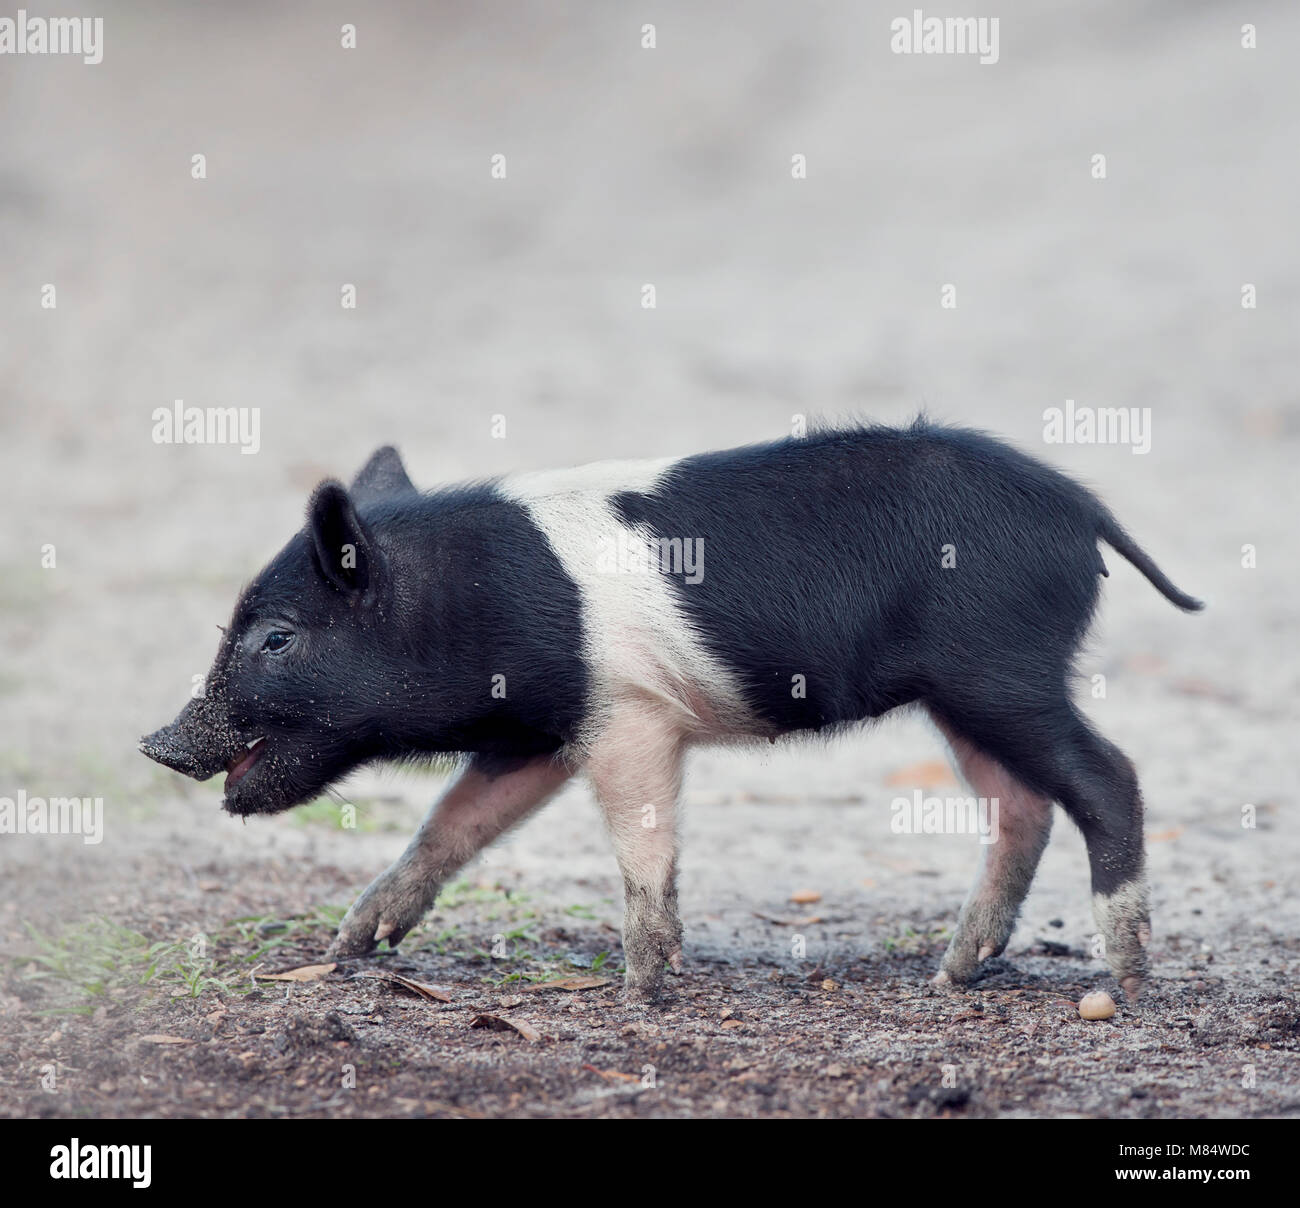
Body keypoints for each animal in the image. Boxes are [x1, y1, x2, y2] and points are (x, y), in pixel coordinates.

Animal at [141, 422, 1202, 1002]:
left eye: (277, 638)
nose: (156, 741)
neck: (468, 604)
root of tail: (1082, 513)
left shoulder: (628, 713)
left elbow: (642, 843)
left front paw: (641, 989)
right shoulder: (540, 735)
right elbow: (454, 824)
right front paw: (352, 945)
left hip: (1002, 670)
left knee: (1109, 777)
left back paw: (1125, 980)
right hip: (961, 695)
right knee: (1019, 805)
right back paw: (951, 973)